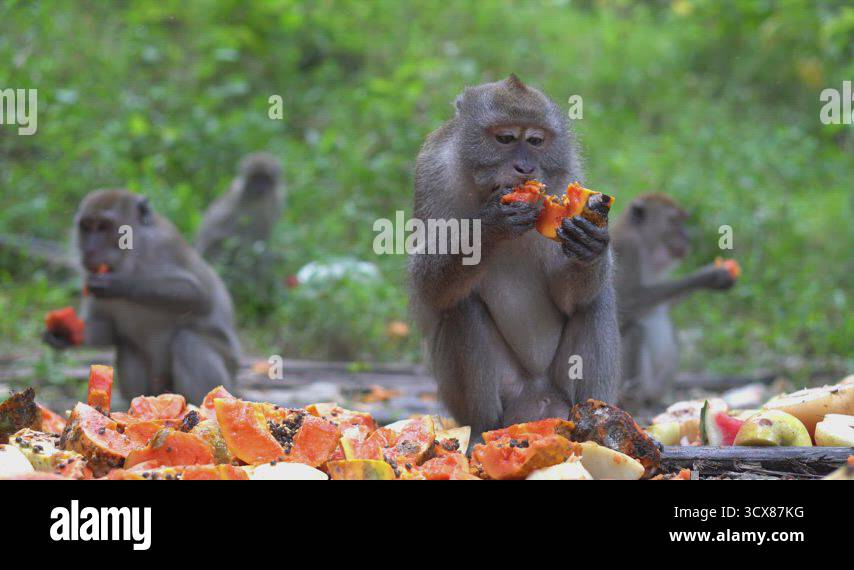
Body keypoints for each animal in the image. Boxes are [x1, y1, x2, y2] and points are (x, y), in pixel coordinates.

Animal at [43, 190, 241, 404]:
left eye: (103, 226)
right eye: (86, 227)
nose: (89, 250)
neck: (128, 255)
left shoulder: (163, 245)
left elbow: (197, 295)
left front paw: (119, 283)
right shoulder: (89, 274)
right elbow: (106, 327)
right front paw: (63, 333)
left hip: (228, 367)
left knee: (189, 341)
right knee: (127, 345)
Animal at [409, 75, 620, 437]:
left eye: (535, 141)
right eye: (505, 139)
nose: (525, 167)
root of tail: (536, 402)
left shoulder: (564, 176)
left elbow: (568, 297)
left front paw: (591, 246)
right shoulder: (433, 171)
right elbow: (428, 286)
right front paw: (491, 224)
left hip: (560, 390)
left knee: (595, 299)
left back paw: (596, 420)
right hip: (504, 393)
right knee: (461, 306)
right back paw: (483, 430)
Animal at [611, 193, 736, 405]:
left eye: (683, 221)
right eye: (674, 221)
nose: (687, 237)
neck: (645, 246)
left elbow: (666, 304)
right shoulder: (628, 249)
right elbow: (625, 302)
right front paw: (710, 275)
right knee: (634, 331)